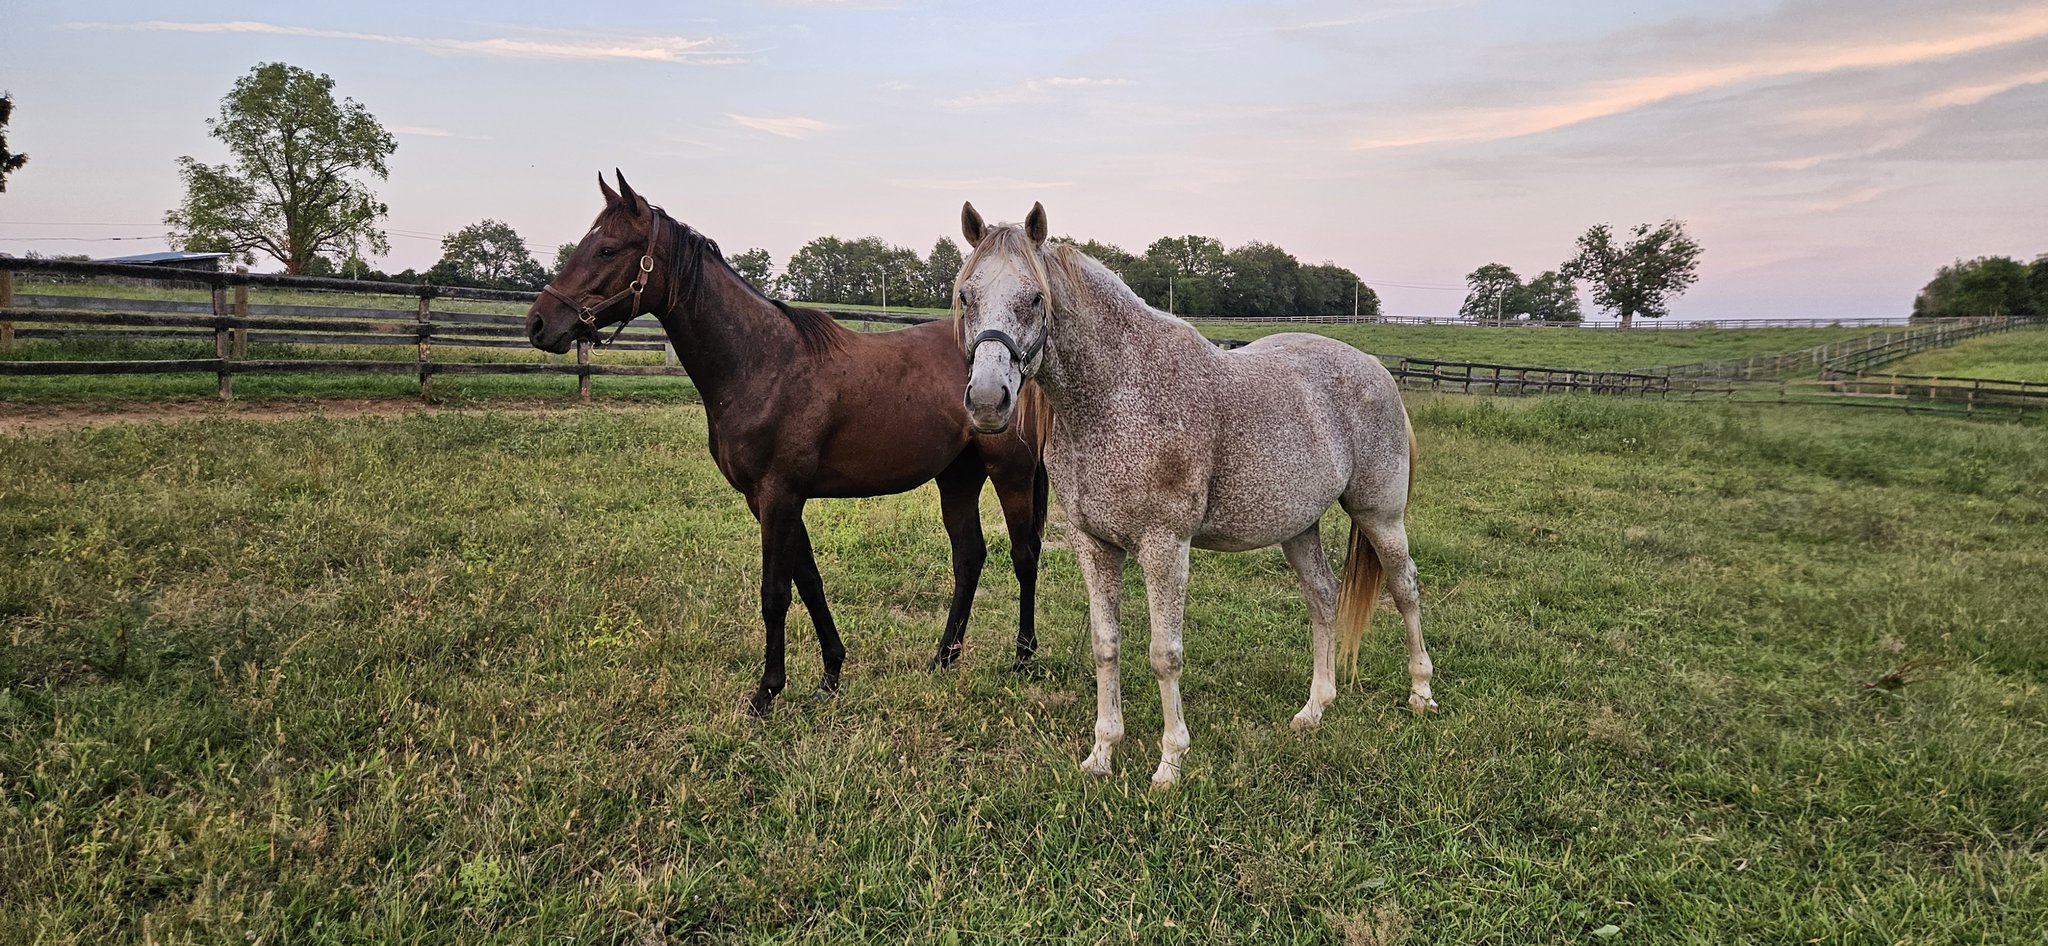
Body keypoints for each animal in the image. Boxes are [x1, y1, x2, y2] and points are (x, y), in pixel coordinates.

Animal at [527, 173, 1049, 716]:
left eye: (607, 249)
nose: (539, 323)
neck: (761, 363)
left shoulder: (779, 495)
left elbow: (775, 592)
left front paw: (767, 691)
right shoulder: (769, 499)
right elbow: (809, 582)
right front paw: (830, 675)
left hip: (1010, 473)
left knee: (1024, 555)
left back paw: (1022, 658)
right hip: (957, 476)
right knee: (969, 557)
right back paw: (944, 658)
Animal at [949, 201, 1436, 787]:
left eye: (1035, 297)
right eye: (965, 295)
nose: (987, 401)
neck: (1118, 393)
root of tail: (1378, 371)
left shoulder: (1164, 547)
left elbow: (1165, 654)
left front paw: (1170, 763)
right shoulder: (1093, 545)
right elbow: (1106, 647)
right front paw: (1101, 754)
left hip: (1379, 514)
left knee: (1406, 589)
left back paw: (1421, 693)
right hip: (1298, 525)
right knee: (1322, 596)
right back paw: (1314, 709)